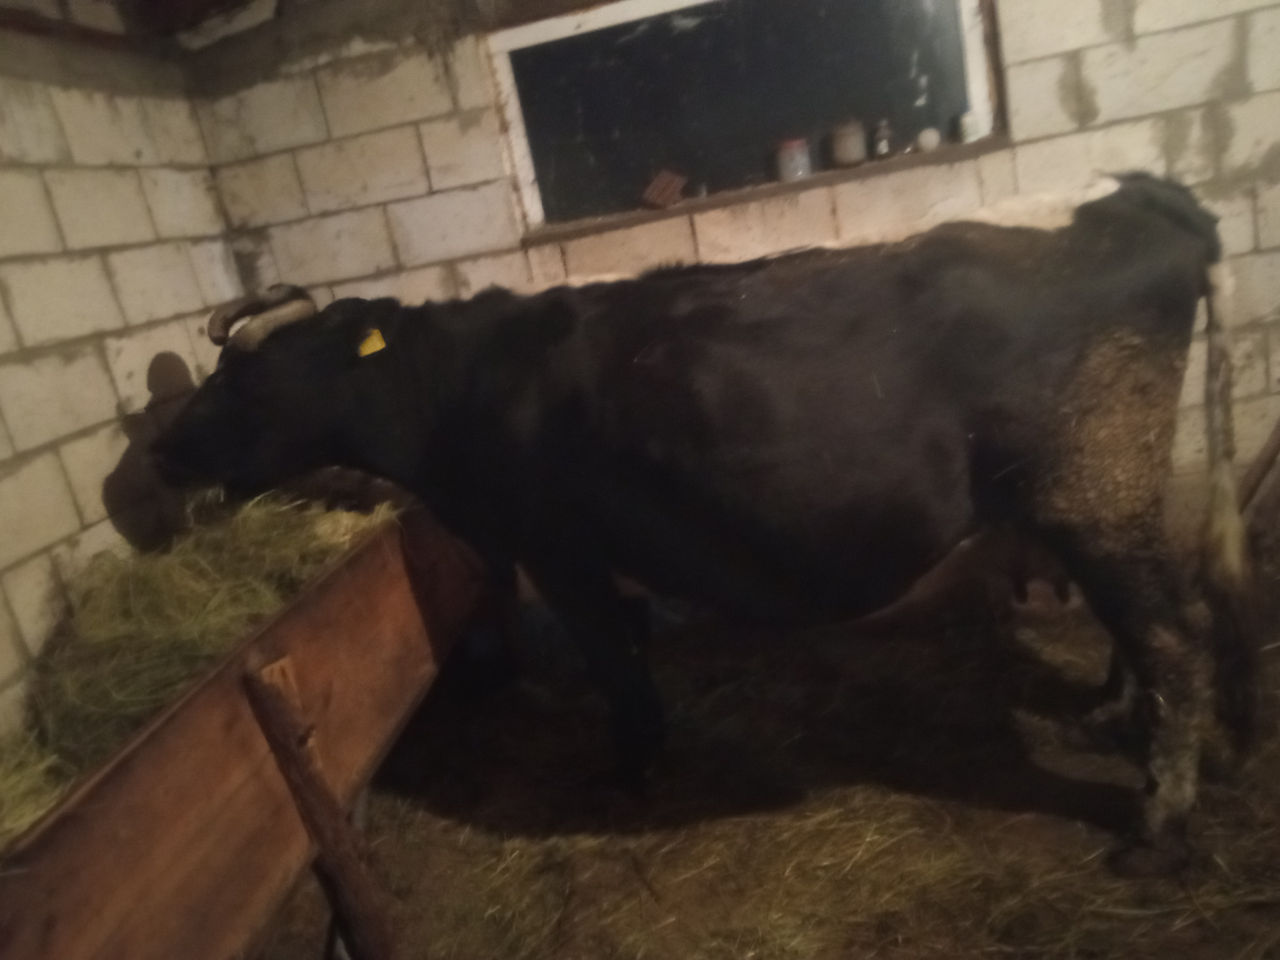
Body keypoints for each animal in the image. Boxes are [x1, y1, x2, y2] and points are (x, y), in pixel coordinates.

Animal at [152, 173, 1258, 874]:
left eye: (245, 378)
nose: (162, 449)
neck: (464, 383)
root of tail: (1137, 189)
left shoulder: (561, 548)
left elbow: (613, 664)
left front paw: (632, 767)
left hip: (1090, 483)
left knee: (1176, 633)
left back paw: (1156, 828)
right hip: (1107, 490)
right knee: (1147, 627)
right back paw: (1114, 721)